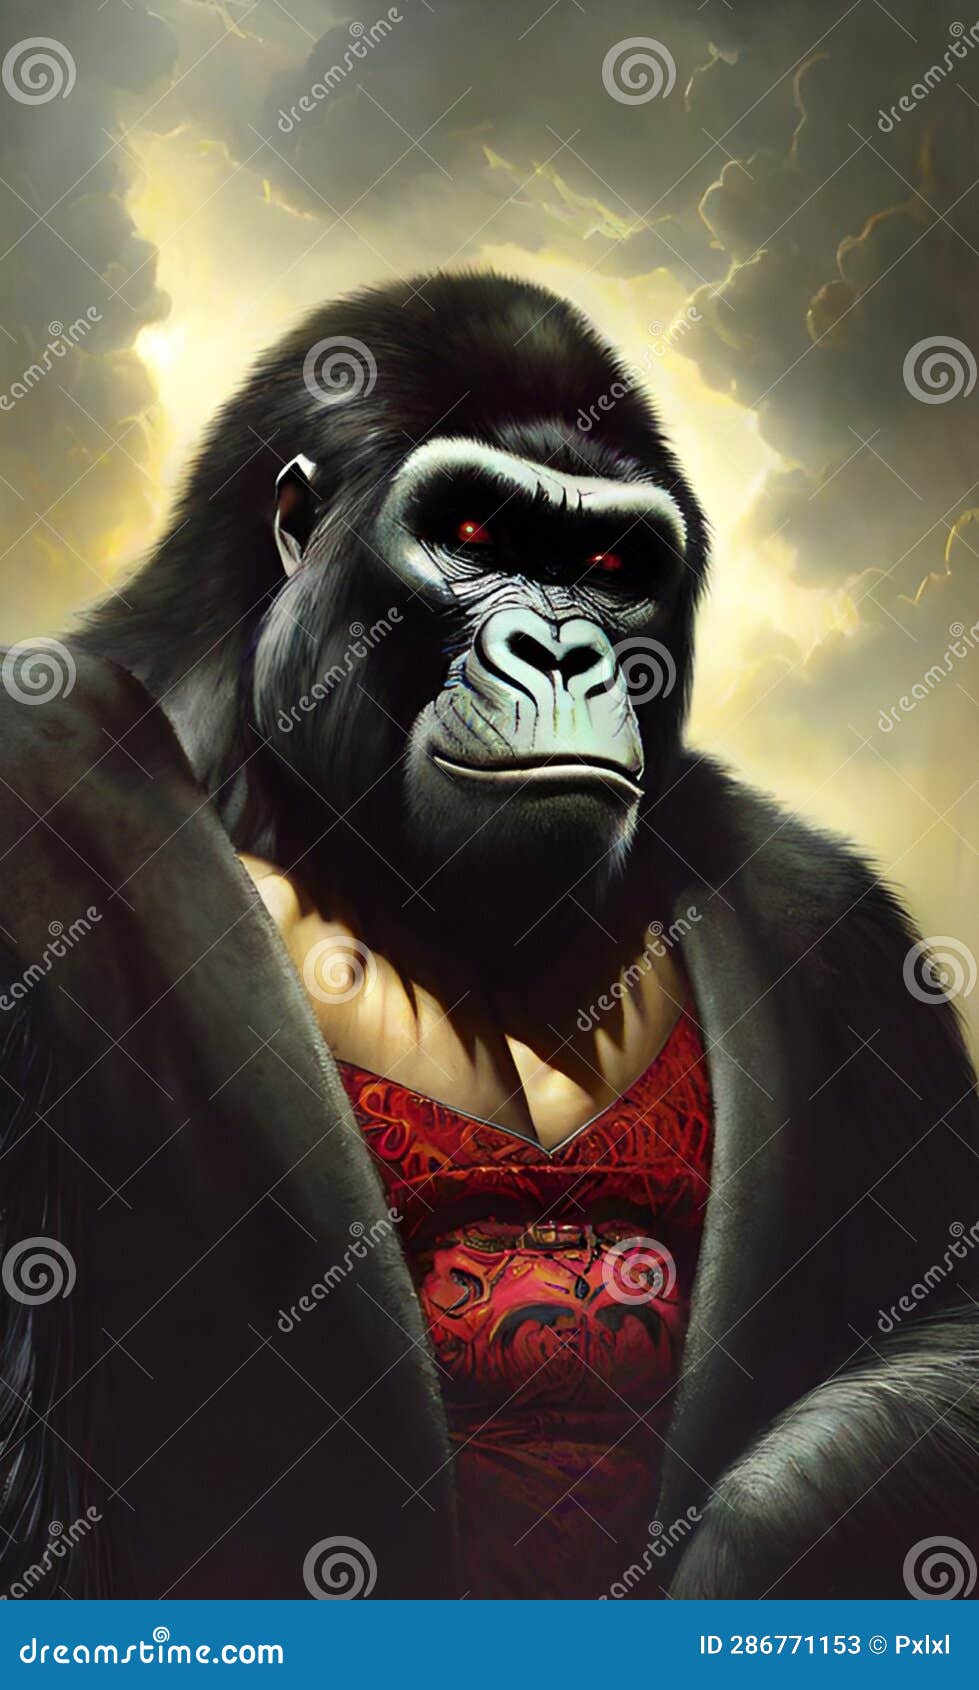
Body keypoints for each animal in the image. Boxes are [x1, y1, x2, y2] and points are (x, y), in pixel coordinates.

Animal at [0, 271, 976, 1598]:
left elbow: (948, 1304)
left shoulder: (835, 918)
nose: (561, 649)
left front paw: (775, 1530)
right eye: (470, 537)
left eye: (611, 563)